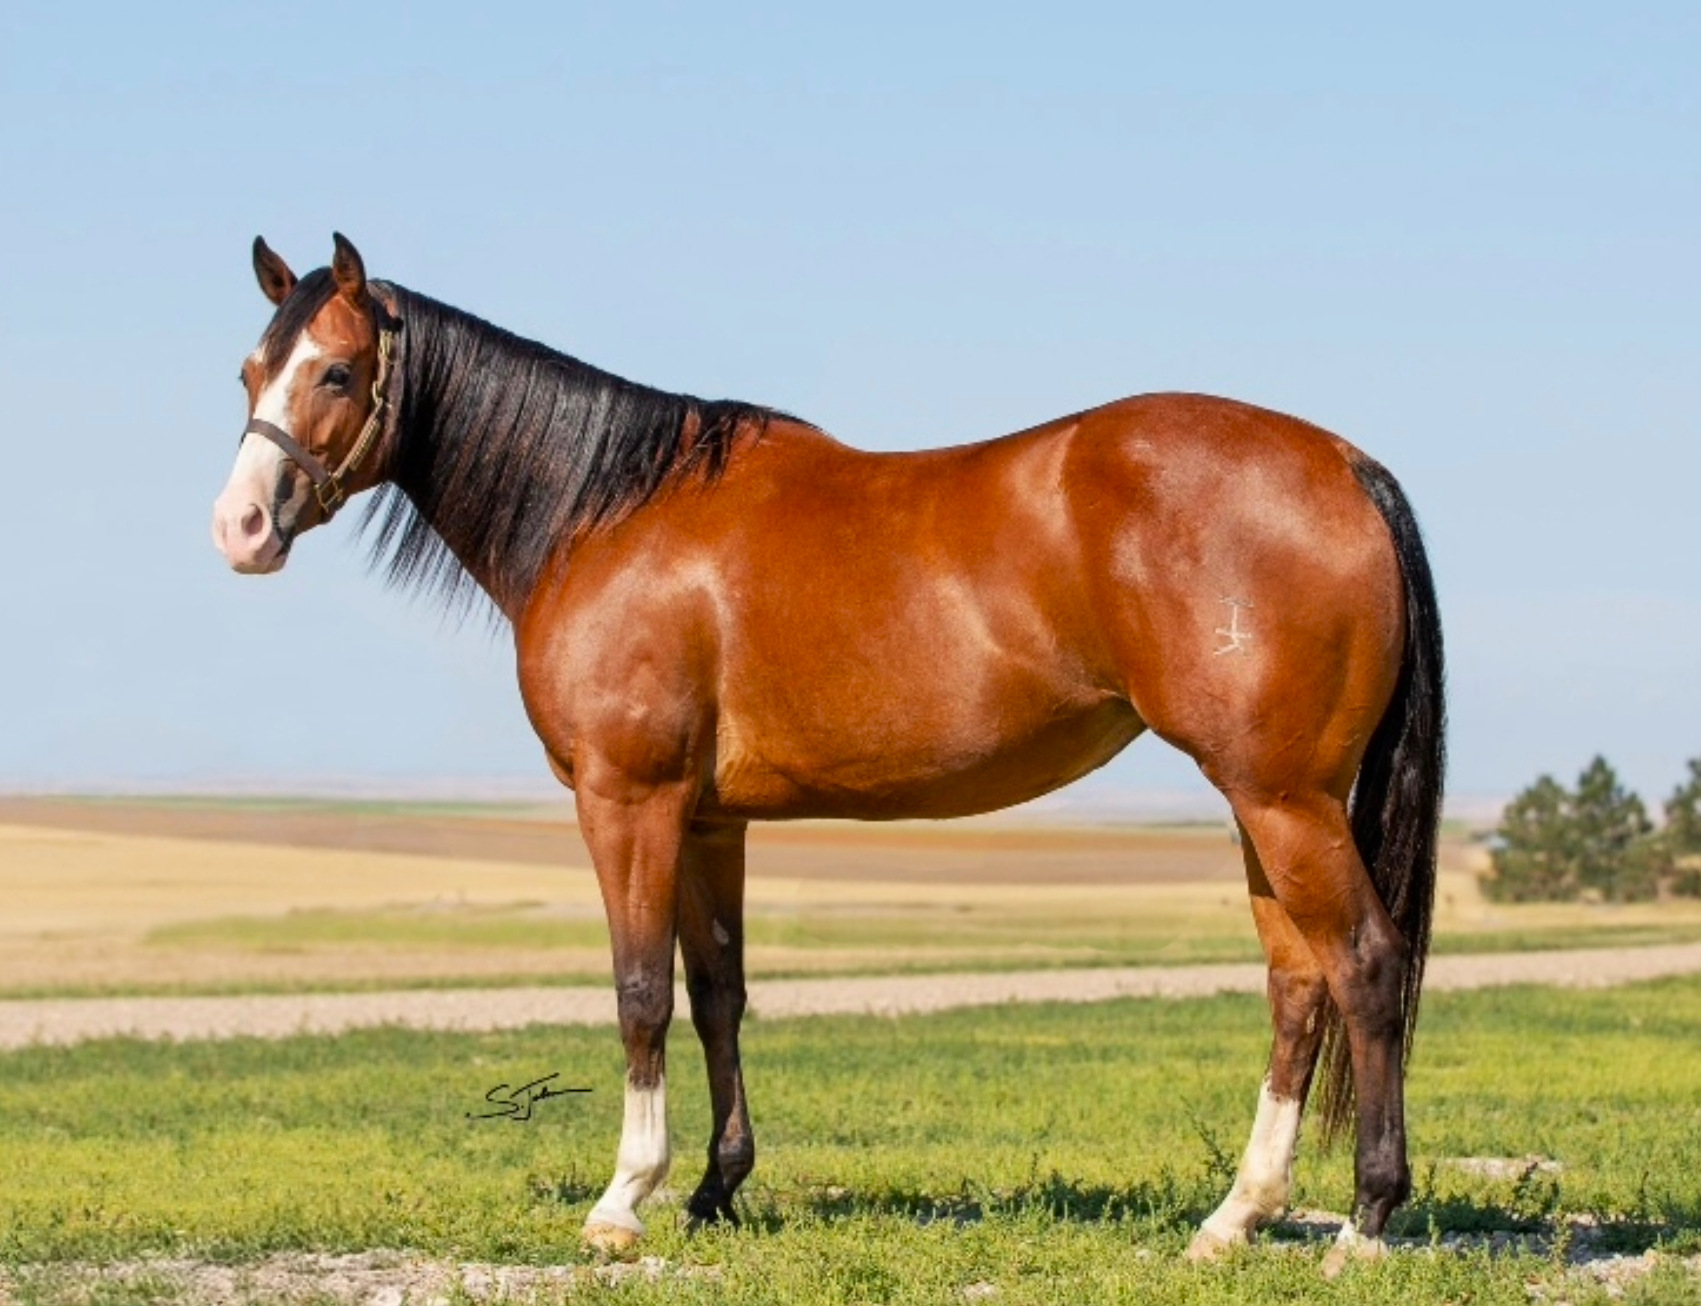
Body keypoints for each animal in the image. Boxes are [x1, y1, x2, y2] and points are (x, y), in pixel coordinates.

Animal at [212, 234, 1444, 1270]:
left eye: (335, 373)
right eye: (248, 372)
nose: (240, 529)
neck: (606, 512)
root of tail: (1346, 462)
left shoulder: (628, 799)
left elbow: (637, 990)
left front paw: (621, 1202)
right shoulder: (709, 817)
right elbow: (717, 990)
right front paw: (714, 1191)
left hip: (1282, 797)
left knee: (1365, 966)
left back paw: (1365, 1223)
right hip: (1267, 801)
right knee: (1296, 983)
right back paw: (1234, 1219)